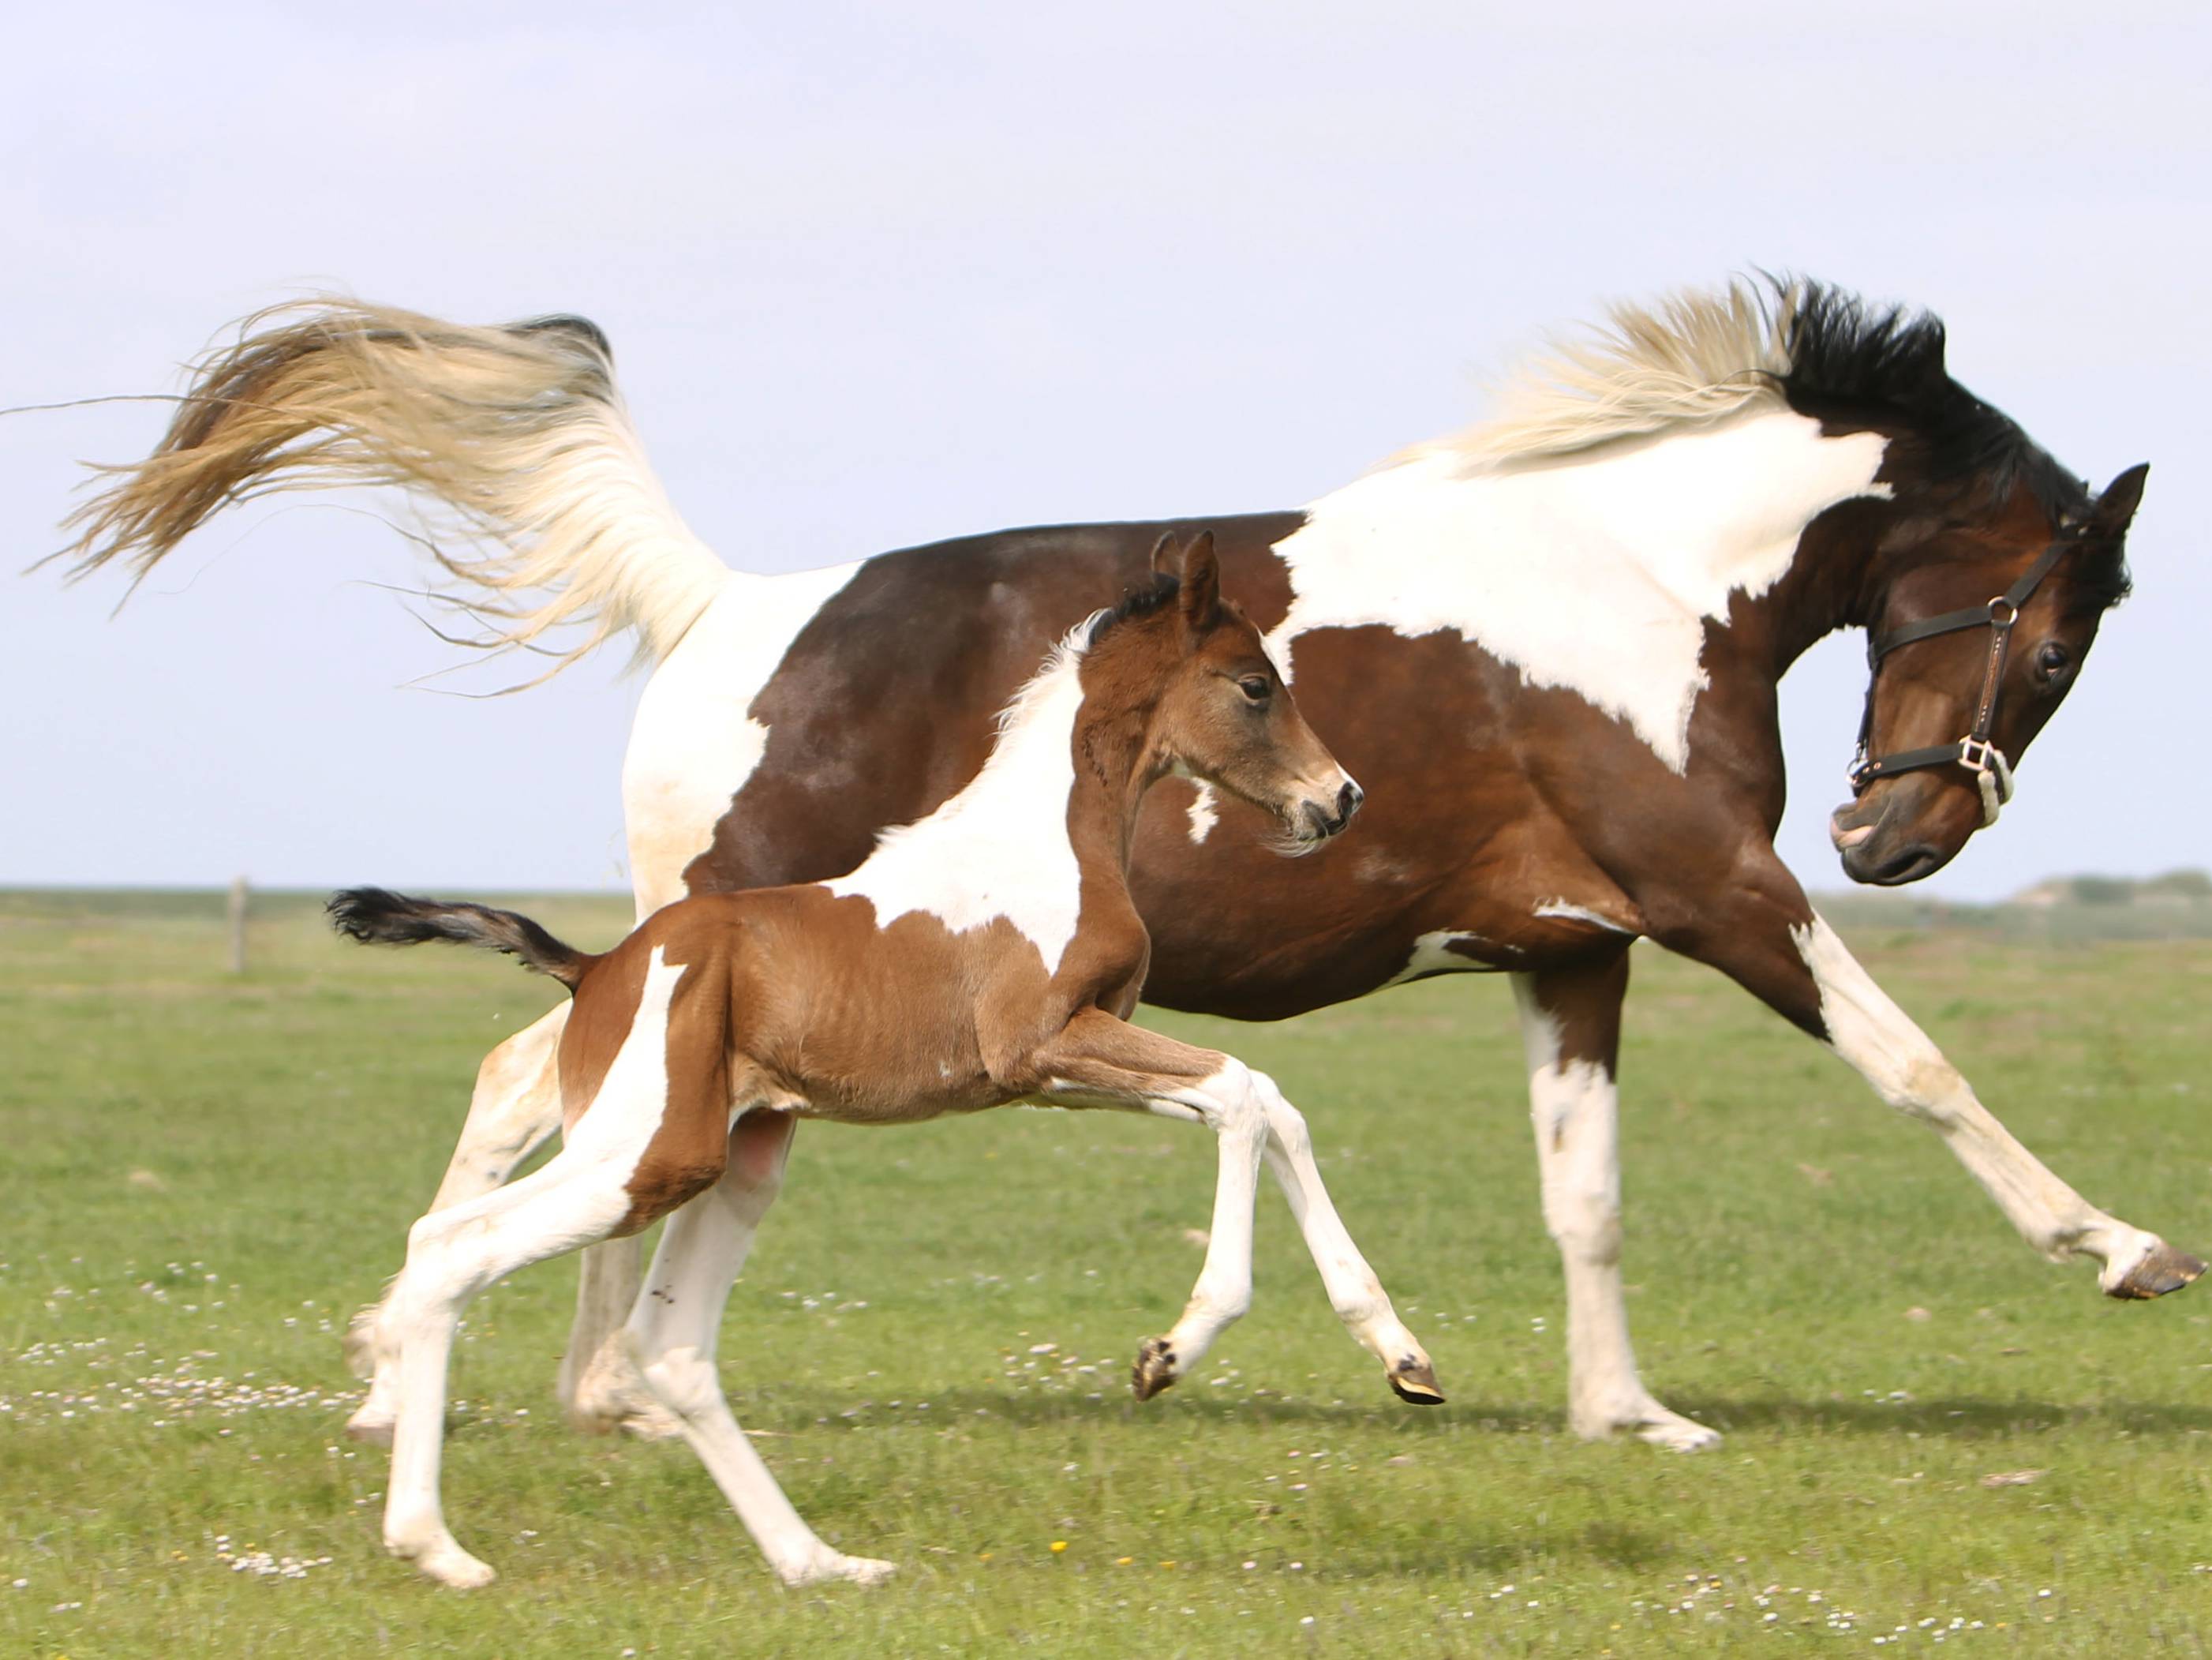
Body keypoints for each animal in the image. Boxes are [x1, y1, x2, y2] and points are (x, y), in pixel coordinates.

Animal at [58, 276, 2197, 1456]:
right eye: (2059, 637)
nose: (1892, 833)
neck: (1638, 585)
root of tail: (720, 607)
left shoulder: (1572, 950)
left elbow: (1582, 1196)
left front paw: (1625, 1415)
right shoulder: (1715, 897)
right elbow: (1919, 1066)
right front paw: (2119, 1248)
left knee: (538, 1094)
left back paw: (494, 1379)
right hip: (709, 949)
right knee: (535, 1090)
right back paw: (511, 1381)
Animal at [324, 531, 1437, 1589]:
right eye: (1254, 684)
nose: (1339, 797)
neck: (1048, 841)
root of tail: (596, 966)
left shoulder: (1067, 1073)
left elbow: (1268, 1105)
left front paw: (1403, 1359)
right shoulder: (1047, 1046)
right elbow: (1244, 1095)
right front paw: (1170, 1352)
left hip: (743, 1155)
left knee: (669, 1348)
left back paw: (818, 1563)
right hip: (646, 1155)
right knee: (453, 1248)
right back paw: (436, 1546)